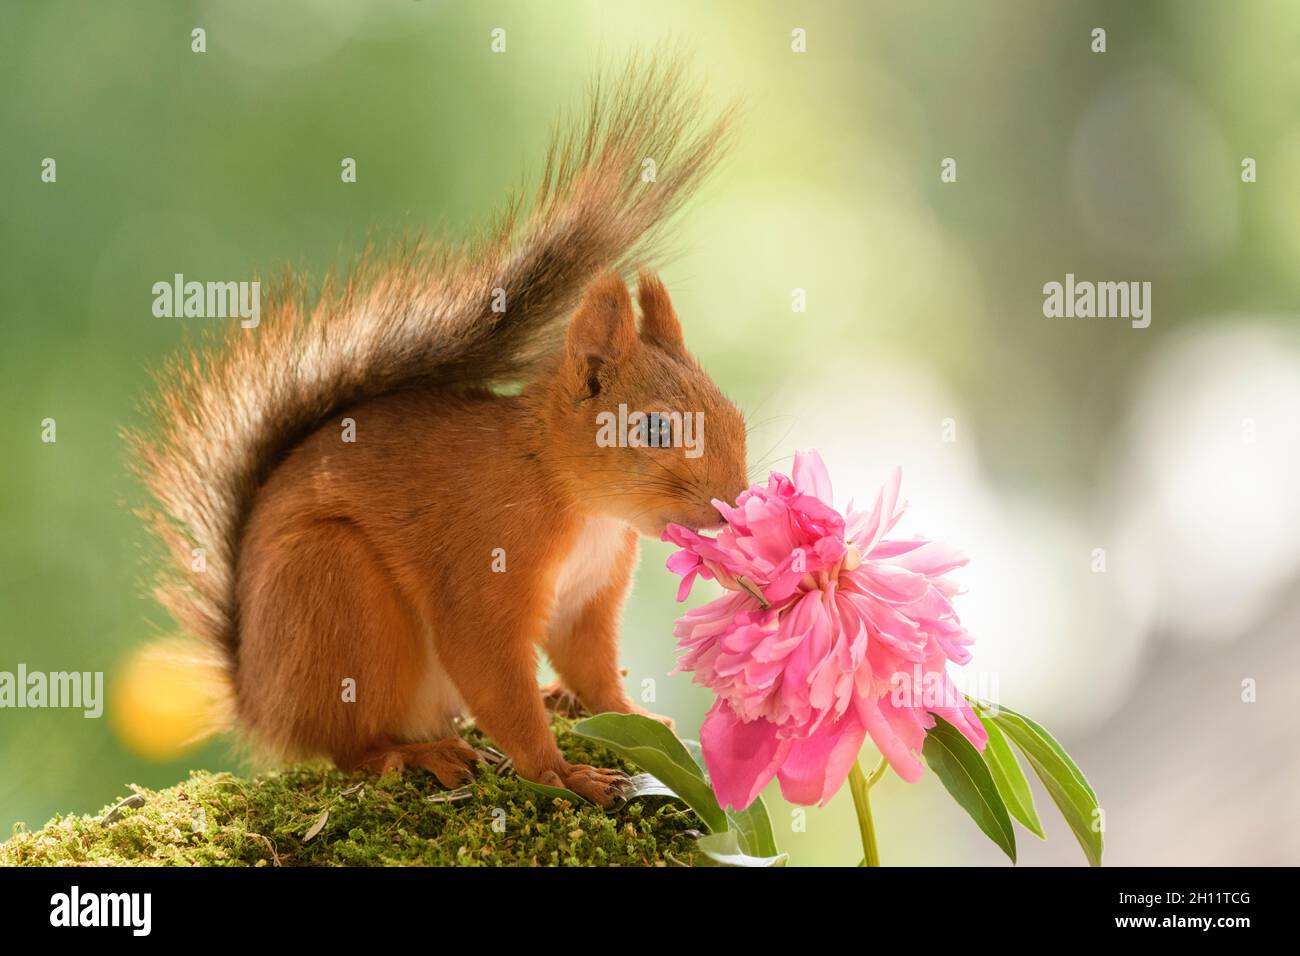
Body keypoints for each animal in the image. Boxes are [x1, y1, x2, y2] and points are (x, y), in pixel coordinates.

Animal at [127, 59, 748, 807]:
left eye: (735, 414)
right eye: (654, 427)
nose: (732, 506)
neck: (576, 497)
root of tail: (260, 702)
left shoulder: (587, 598)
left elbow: (592, 666)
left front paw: (633, 717)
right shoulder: (484, 559)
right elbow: (490, 668)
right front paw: (562, 773)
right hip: (339, 597)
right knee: (348, 746)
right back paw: (416, 756)